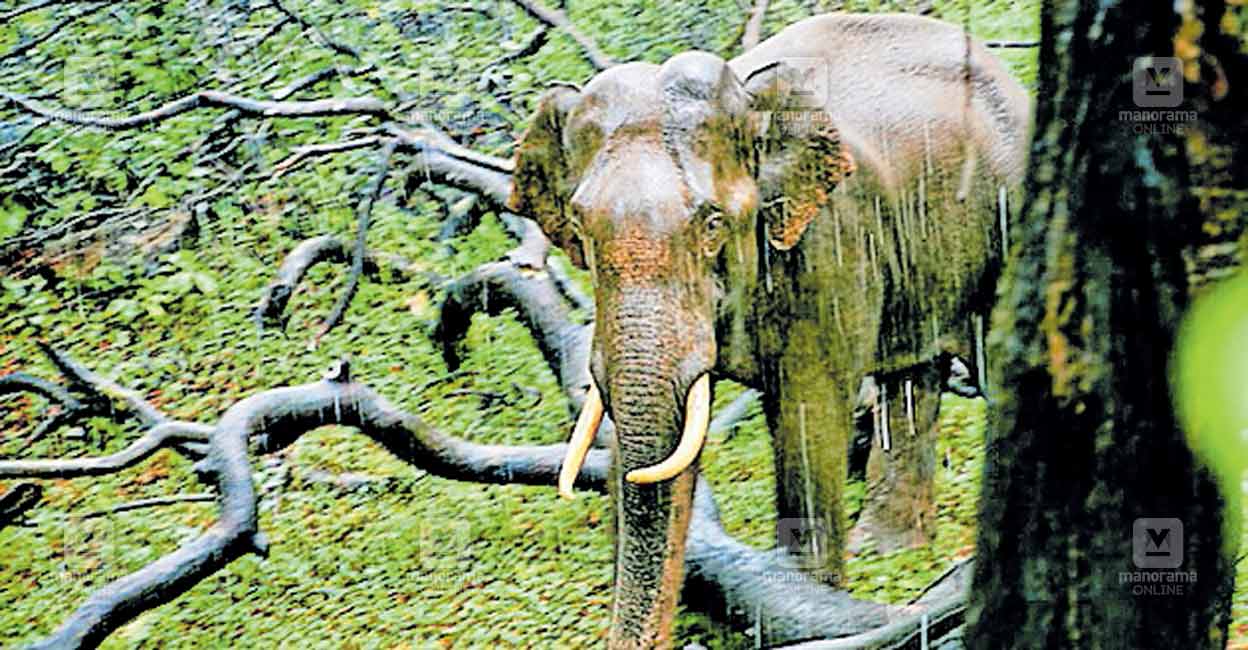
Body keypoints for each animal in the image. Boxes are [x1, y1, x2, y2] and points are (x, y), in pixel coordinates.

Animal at [507, 12, 1030, 649]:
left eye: (711, 224)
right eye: (581, 225)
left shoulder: (830, 241)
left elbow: (809, 410)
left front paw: (807, 597)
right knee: (911, 378)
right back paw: (885, 549)